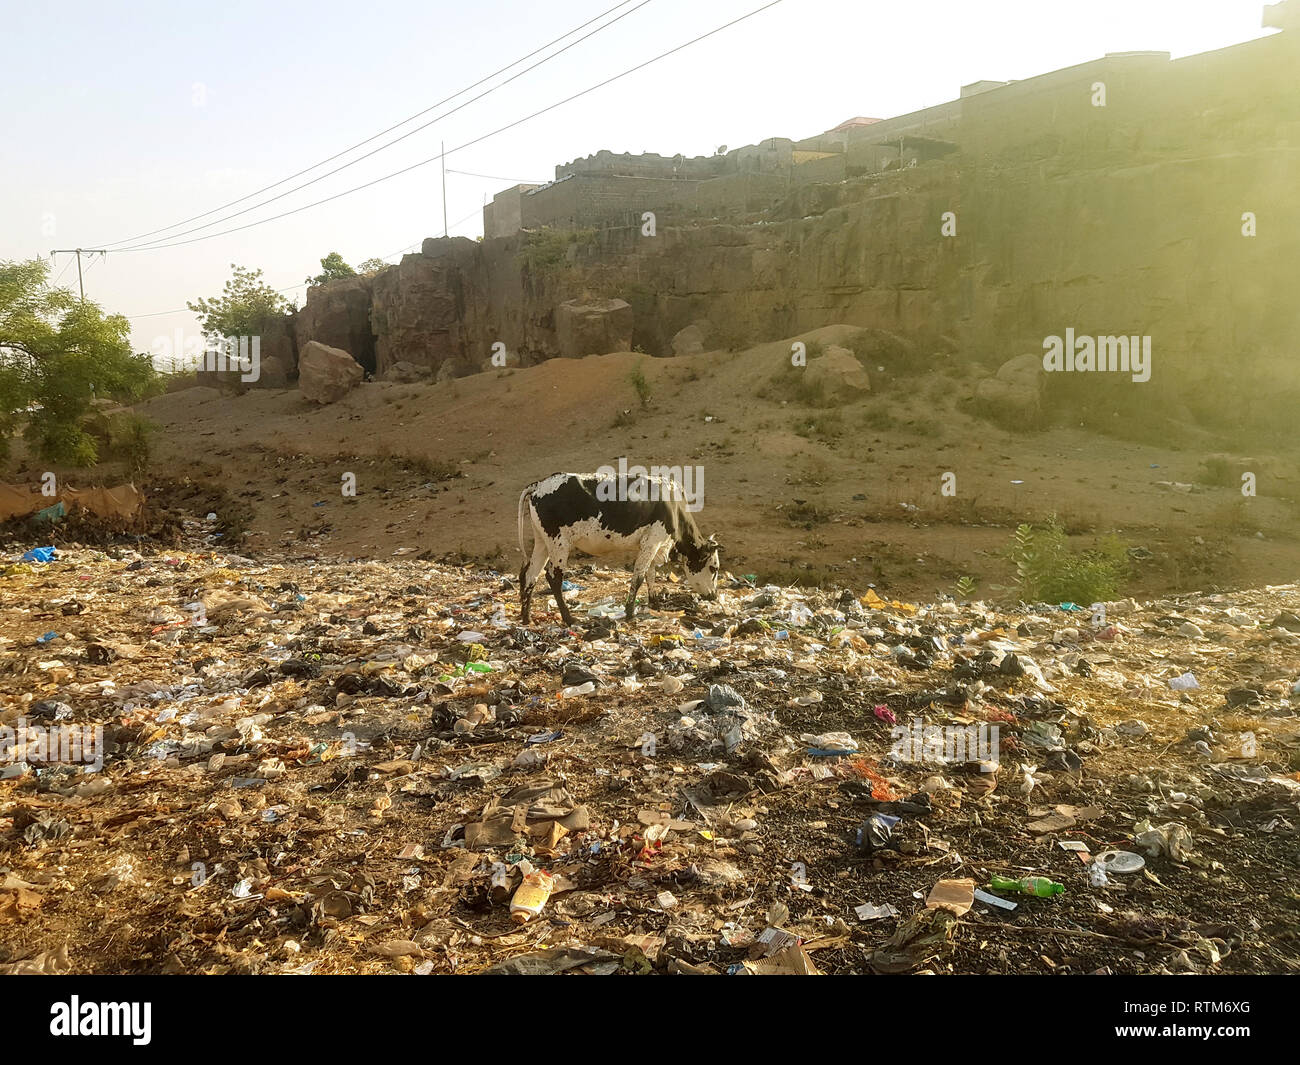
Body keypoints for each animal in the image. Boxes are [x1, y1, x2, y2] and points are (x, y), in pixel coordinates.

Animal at [517, 471, 720, 626]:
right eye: (713, 568)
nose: (714, 596)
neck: (673, 507)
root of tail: (539, 485)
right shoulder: (652, 542)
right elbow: (639, 577)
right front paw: (630, 612)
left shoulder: (653, 546)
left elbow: (650, 574)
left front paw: (654, 604)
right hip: (559, 543)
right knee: (553, 578)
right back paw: (569, 618)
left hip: (542, 543)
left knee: (530, 575)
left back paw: (527, 618)